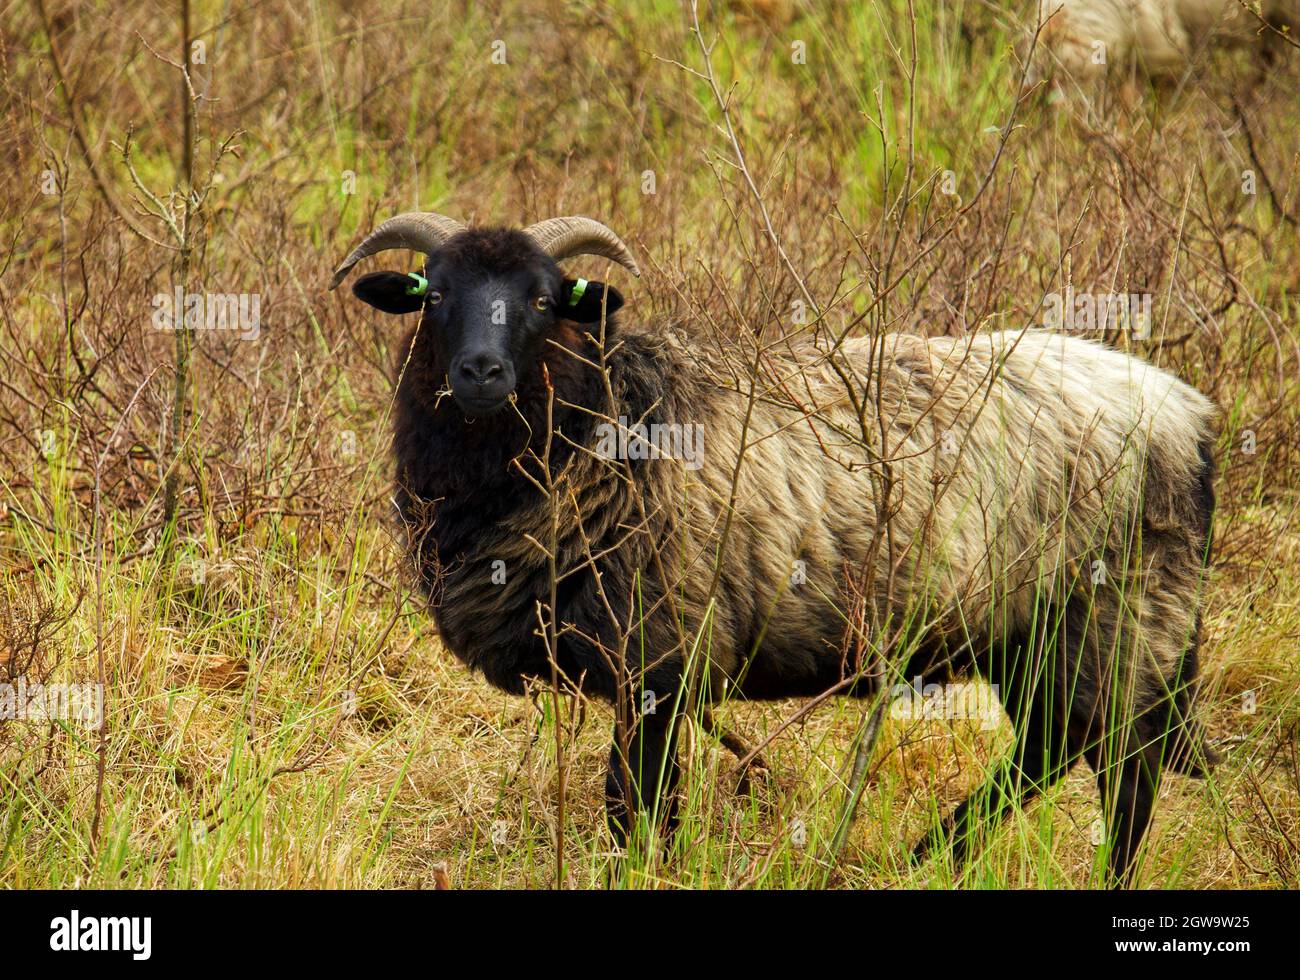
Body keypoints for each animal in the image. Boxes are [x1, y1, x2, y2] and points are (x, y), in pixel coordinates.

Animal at [330, 211, 1219, 883]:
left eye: (546, 300)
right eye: (433, 294)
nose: (481, 372)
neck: (603, 429)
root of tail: (1188, 414)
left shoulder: (658, 660)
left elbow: (633, 802)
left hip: (1118, 617)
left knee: (1124, 776)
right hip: (1034, 633)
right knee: (1048, 750)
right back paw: (931, 853)